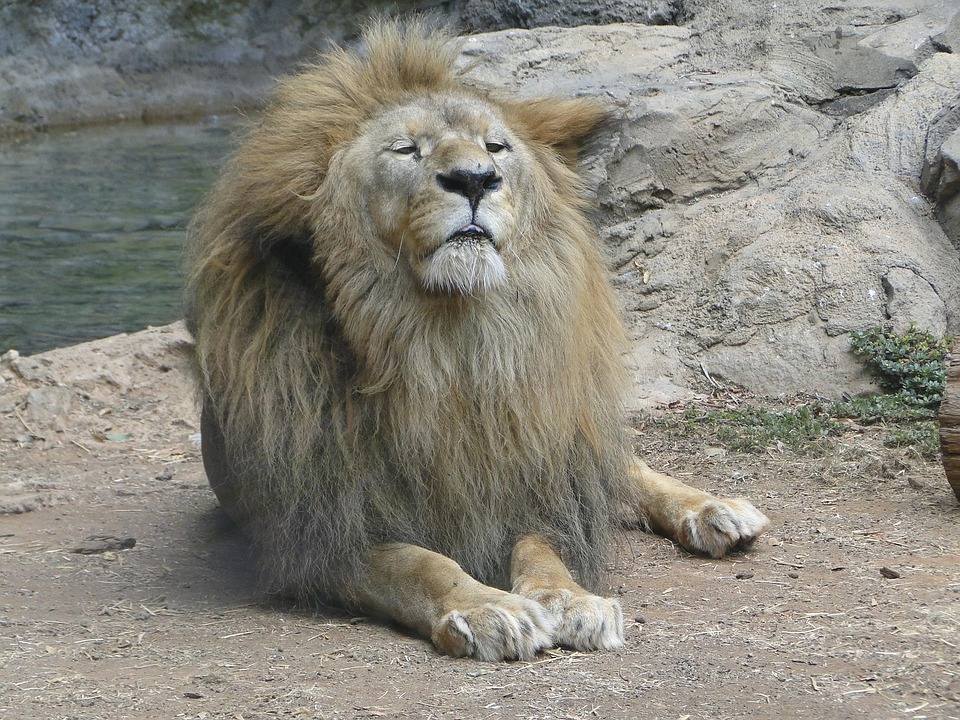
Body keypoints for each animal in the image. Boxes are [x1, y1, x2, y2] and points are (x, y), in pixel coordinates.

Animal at [184, 18, 769, 661]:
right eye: (405, 150)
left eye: (496, 148)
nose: (474, 180)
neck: (446, 343)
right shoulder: (318, 535)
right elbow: (417, 564)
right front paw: (487, 608)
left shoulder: (525, 470)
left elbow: (543, 549)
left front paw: (572, 601)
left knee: (625, 469)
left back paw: (715, 511)